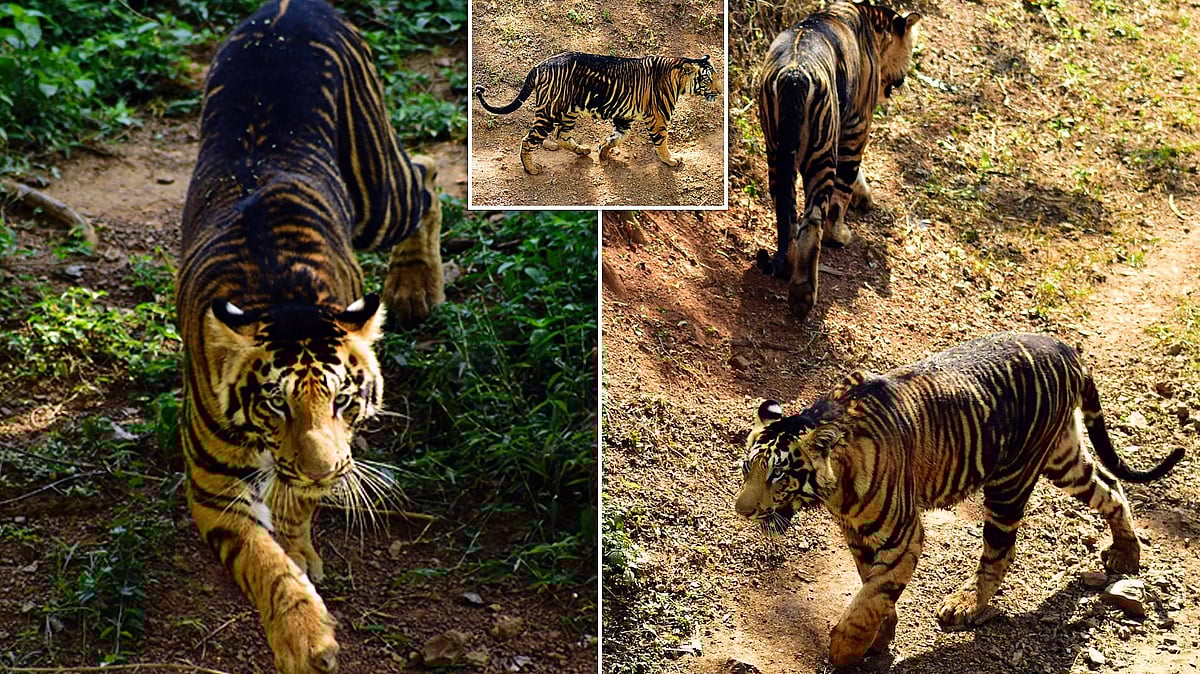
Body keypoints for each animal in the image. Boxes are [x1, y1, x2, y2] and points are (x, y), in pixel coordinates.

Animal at [176, 0, 443, 671]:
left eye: (343, 399)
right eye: (275, 403)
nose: (327, 473)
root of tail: (293, 6)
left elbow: (295, 506)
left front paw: (301, 546)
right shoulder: (213, 486)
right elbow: (262, 560)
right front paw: (305, 638)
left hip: (379, 196)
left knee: (427, 174)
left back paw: (414, 285)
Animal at [473, 52, 719, 175]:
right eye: (708, 79)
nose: (719, 91)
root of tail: (539, 65)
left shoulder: (624, 116)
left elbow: (619, 137)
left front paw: (603, 150)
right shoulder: (659, 117)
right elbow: (662, 142)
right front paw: (670, 160)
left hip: (569, 111)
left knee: (561, 136)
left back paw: (583, 150)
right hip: (550, 111)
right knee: (529, 140)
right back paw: (532, 169)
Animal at [734, 333, 1183, 667]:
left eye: (777, 474)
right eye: (746, 468)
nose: (743, 510)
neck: (836, 489)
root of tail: (1066, 348)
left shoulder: (902, 535)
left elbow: (872, 593)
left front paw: (845, 651)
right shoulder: (859, 534)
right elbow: (870, 586)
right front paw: (881, 636)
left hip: (1011, 481)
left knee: (999, 552)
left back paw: (964, 604)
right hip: (1063, 458)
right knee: (1110, 487)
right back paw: (1125, 553)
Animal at [756, 0, 920, 320]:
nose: (904, 78)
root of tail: (794, 75)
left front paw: (864, 195)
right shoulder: (857, 126)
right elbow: (843, 189)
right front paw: (841, 234)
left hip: (775, 150)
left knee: (786, 211)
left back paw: (789, 267)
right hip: (821, 155)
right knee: (813, 220)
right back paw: (803, 295)